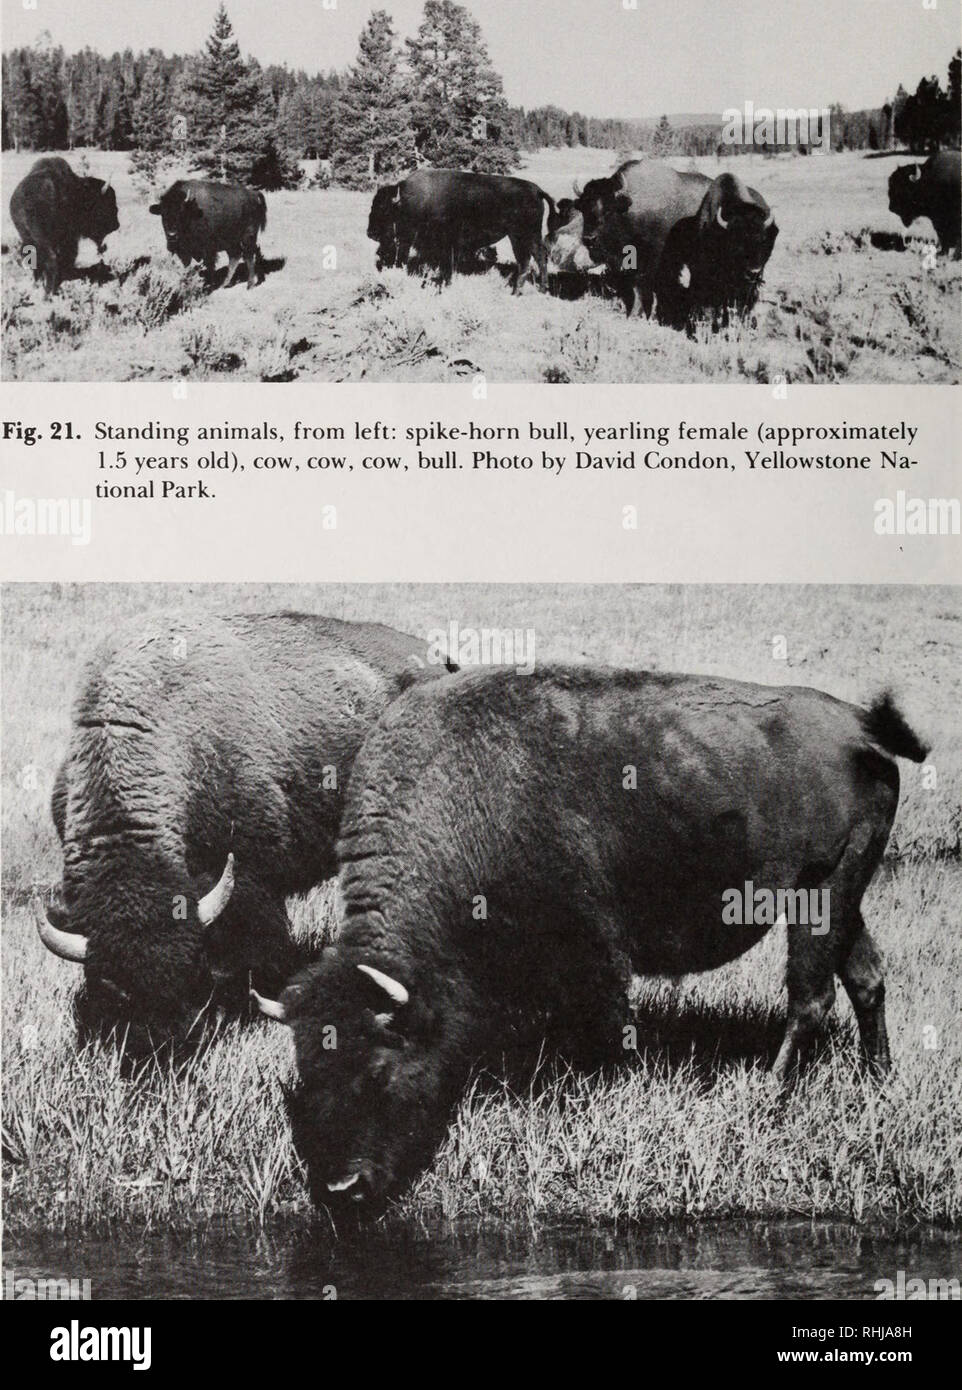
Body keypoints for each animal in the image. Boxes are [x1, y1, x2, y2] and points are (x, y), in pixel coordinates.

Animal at [256, 668, 925, 1211]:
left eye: (378, 1069)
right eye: (307, 1074)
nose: (341, 1187)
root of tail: (861, 726)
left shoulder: (594, 952)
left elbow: (605, 1030)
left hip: (819, 893)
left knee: (810, 997)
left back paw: (768, 1100)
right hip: (844, 898)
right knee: (866, 978)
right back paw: (878, 1081)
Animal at [368, 169, 558, 292]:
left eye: (384, 209)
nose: (370, 233)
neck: (408, 201)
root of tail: (537, 191)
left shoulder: (443, 244)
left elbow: (446, 267)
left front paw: (443, 284)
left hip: (519, 236)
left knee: (525, 260)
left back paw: (516, 292)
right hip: (530, 236)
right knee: (539, 256)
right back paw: (542, 288)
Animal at [572, 161, 777, 326]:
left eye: (608, 209)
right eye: (583, 208)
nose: (589, 238)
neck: (632, 208)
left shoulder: (653, 261)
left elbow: (644, 286)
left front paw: (644, 314)